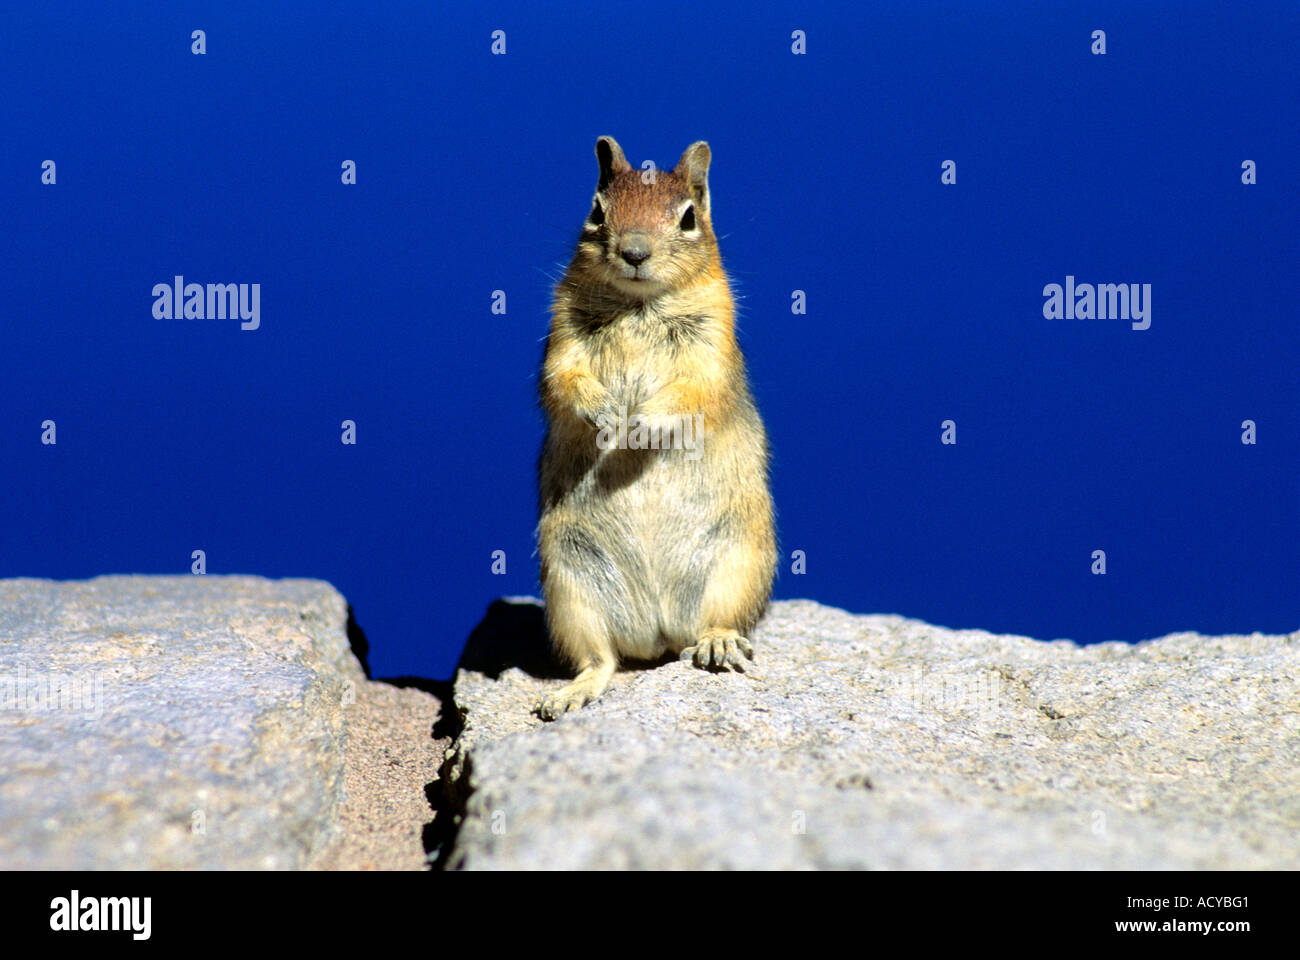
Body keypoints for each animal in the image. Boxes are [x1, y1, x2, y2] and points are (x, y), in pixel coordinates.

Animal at [534, 136, 776, 720]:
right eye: (598, 212)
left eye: (688, 218)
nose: (636, 253)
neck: (639, 305)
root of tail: (661, 631)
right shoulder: (561, 338)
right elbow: (564, 379)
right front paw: (605, 412)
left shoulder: (711, 350)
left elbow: (691, 394)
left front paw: (638, 422)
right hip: (570, 584)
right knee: (600, 659)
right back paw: (572, 693)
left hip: (739, 560)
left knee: (718, 619)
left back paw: (717, 643)